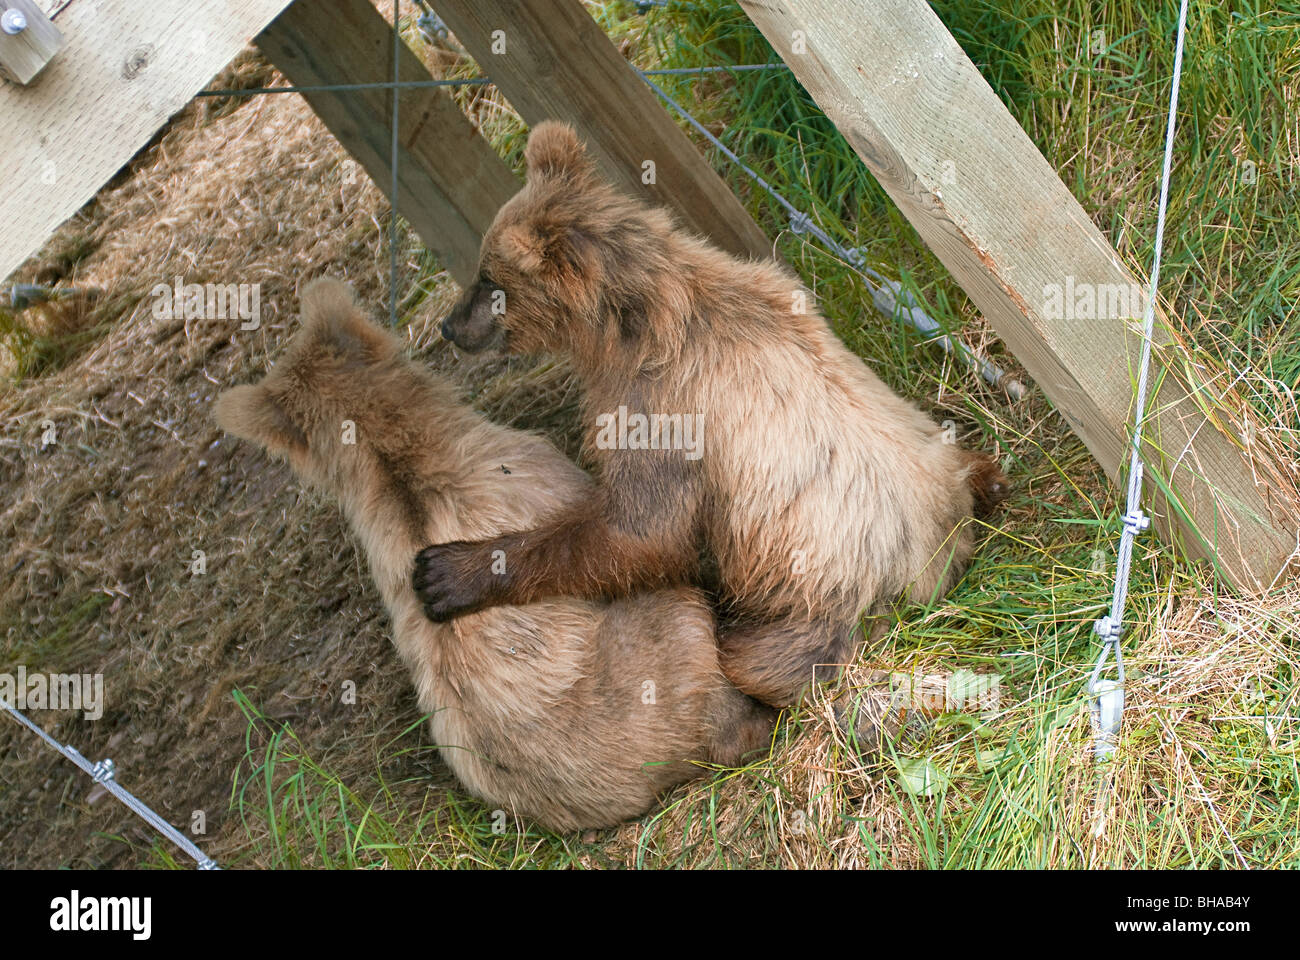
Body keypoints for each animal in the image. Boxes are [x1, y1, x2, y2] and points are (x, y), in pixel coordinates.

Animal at [414, 121, 1008, 709]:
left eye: (491, 283)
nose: (449, 326)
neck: (633, 327)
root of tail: (945, 554)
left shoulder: (667, 413)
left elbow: (637, 531)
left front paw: (448, 570)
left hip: (818, 603)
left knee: (757, 661)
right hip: (936, 445)